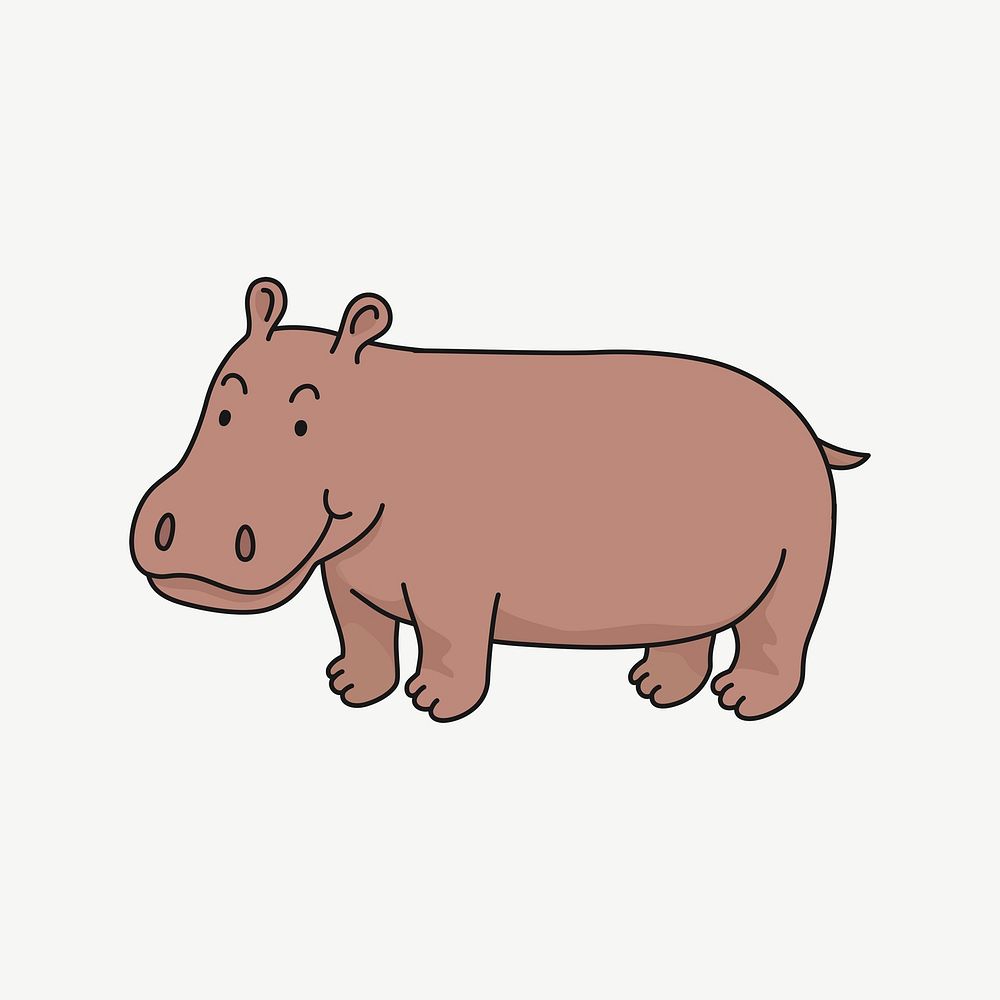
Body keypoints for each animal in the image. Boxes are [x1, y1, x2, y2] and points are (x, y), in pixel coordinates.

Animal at [130, 277, 869, 722]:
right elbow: (360, 630)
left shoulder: (451, 584)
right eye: (222, 406)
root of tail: (805, 424)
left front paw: (432, 704)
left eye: (305, 424)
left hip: (802, 541)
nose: (192, 530)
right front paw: (348, 689)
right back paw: (654, 690)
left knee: (779, 624)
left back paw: (743, 703)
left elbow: (448, 641)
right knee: (692, 622)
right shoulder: (345, 567)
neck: (377, 412)